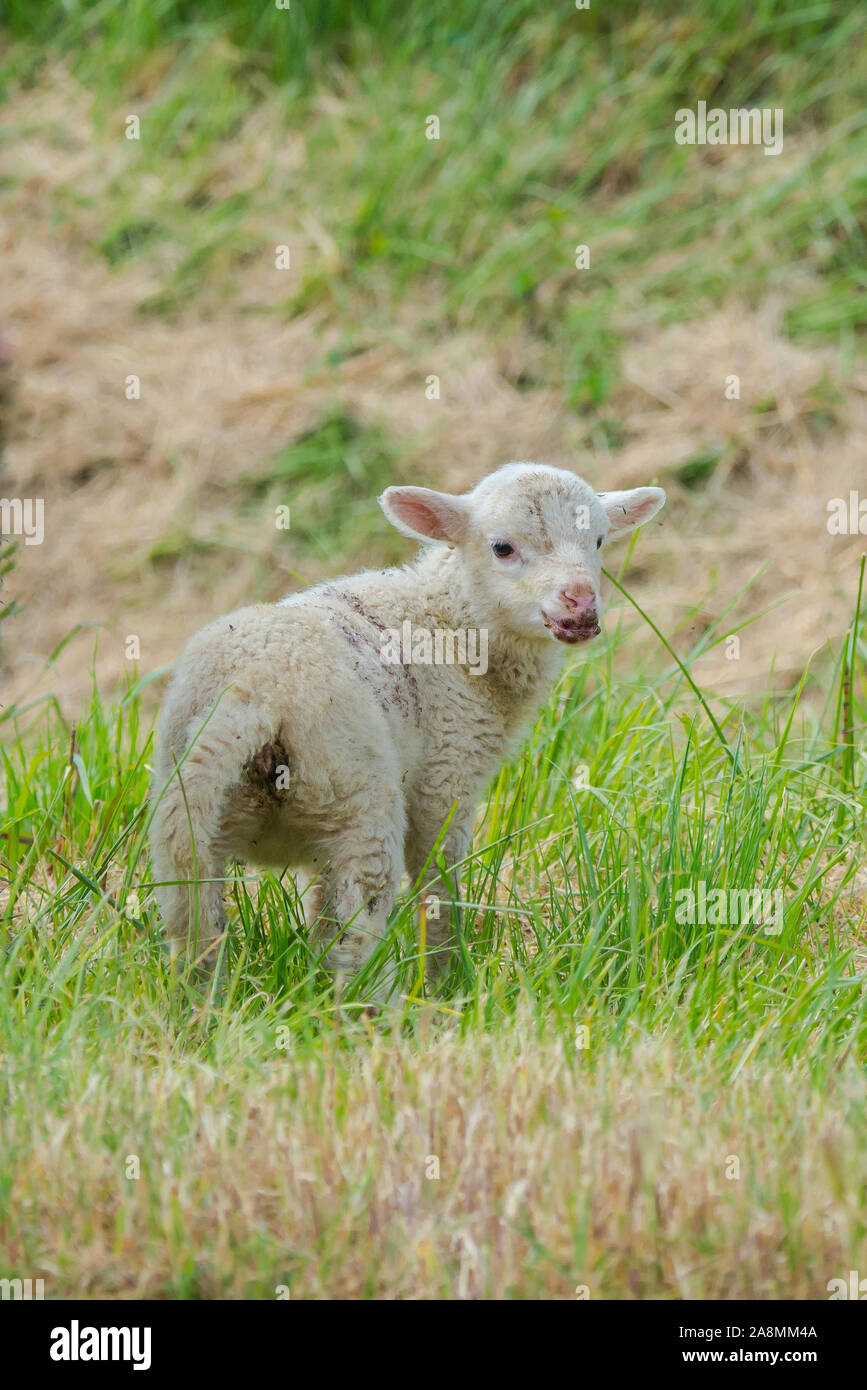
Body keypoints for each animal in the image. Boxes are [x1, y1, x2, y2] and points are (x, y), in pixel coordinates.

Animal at [149, 462, 665, 1003]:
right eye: (502, 547)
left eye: (600, 540)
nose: (581, 603)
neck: (450, 623)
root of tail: (253, 691)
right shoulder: (447, 773)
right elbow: (439, 884)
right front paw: (445, 980)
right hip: (358, 794)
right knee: (354, 931)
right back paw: (378, 1005)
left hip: (184, 809)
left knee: (197, 925)